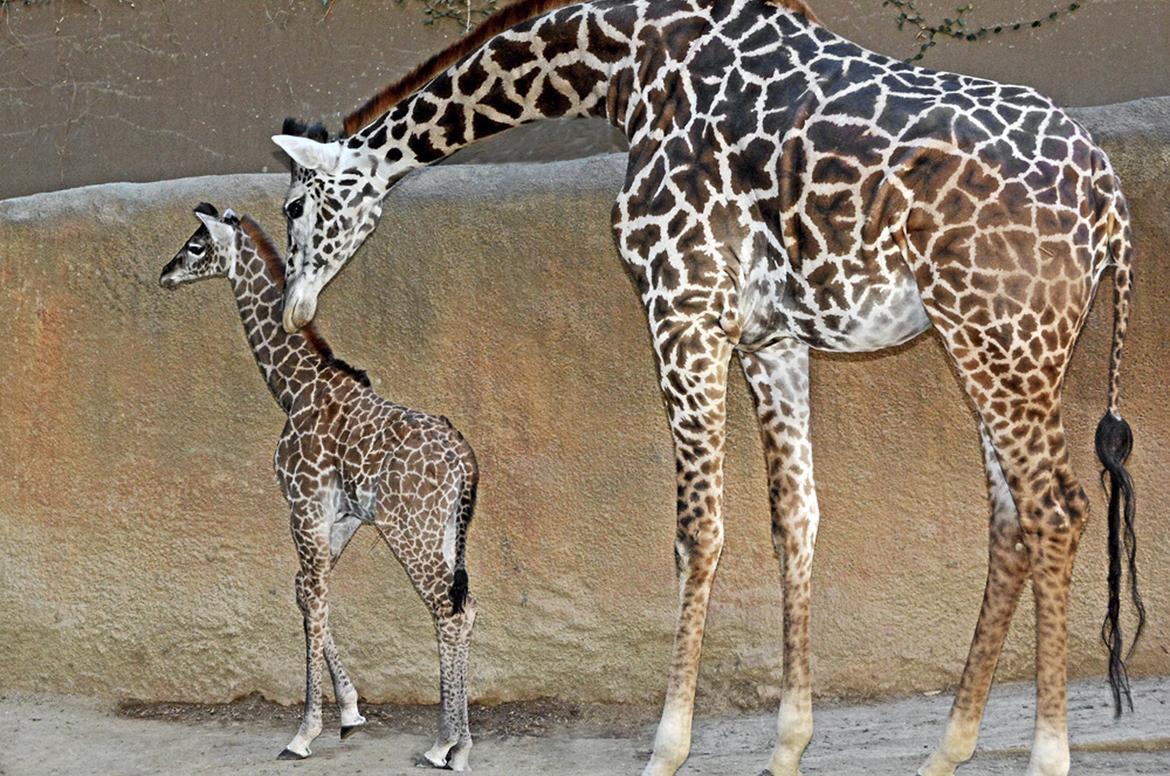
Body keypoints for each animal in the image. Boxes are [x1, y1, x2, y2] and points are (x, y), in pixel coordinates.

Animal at [159, 204, 478, 770]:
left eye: (196, 246)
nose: (165, 274)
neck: (294, 389)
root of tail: (464, 460)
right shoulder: (341, 516)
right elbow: (306, 592)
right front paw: (349, 711)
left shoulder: (302, 505)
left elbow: (315, 599)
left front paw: (304, 732)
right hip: (443, 530)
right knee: (467, 605)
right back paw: (455, 740)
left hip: (409, 530)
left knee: (447, 611)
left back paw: (449, 746)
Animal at [267, 1, 1144, 774]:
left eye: (295, 205)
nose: (297, 308)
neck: (623, 66)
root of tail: (1109, 201)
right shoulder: (771, 338)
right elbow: (796, 518)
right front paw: (788, 747)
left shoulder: (682, 310)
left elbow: (698, 531)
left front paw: (666, 748)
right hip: (1000, 348)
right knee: (1010, 520)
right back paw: (946, 750)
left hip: (998, 339)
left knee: (1056, 509)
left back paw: (1046, 755)